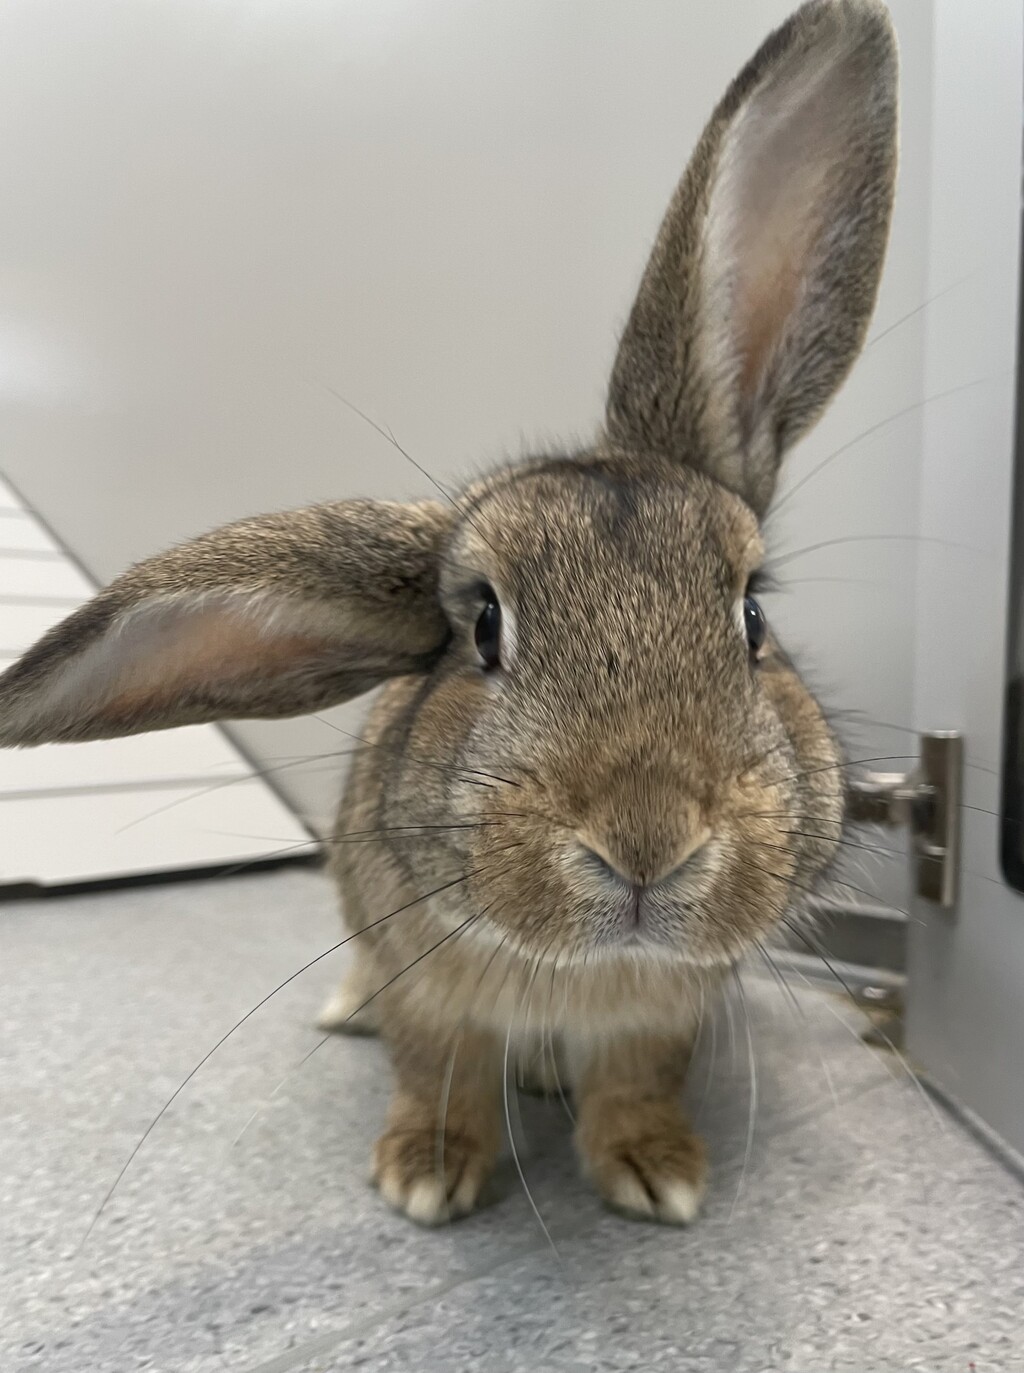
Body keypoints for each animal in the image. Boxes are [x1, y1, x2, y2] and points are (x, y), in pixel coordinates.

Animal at [0, 0, 898, 1226]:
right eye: (484, 629)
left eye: (751, 615)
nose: (646, 841)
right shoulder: (425, 980)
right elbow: (436, 1069)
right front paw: (423, 1175)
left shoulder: (667, 1016)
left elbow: (638, 1079)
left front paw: (657, 1172)